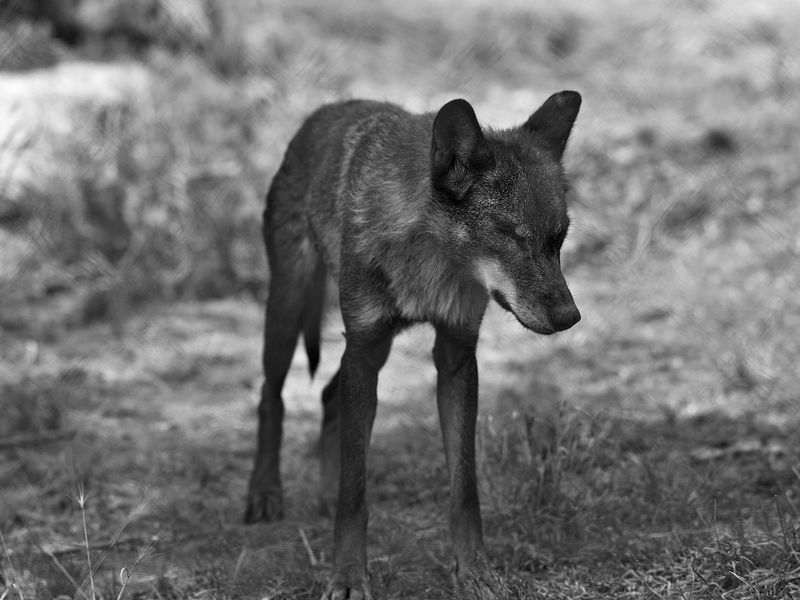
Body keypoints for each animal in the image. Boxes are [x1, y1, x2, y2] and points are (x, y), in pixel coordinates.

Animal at [245, 91, 582, 599]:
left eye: (557, 240)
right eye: (510, 235)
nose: (570, 317)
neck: (429, 259)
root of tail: (321, 113)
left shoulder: (455, 357)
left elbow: (464, 491)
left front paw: (475, 571)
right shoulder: (363, 351)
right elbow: (355, 495)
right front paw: (348, 576)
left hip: (367, 346)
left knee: (327, 397)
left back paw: (321, 493)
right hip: (290, 310)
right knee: (272, 397)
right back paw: (264, 494)